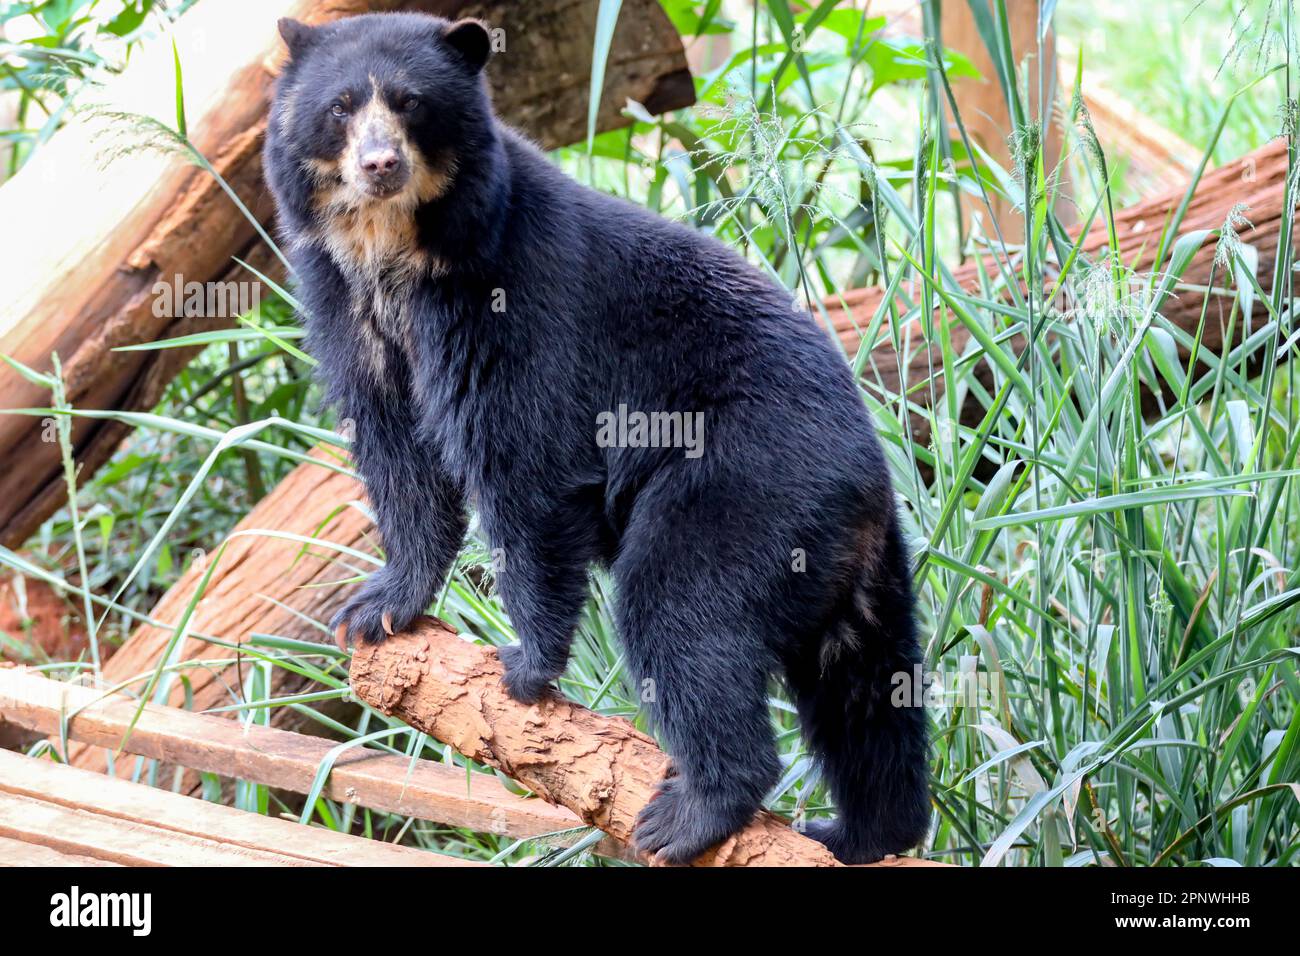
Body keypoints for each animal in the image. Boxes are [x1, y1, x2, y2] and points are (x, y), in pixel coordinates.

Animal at [263, 11, 929, 865]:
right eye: (342, 106)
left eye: (411, 103)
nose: (381, 164)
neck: (397, 249)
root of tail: (868, 475)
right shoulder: (342, 299)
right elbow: (394, 447)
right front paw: (376, 608)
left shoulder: (511, 296)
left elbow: (523, 465)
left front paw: (524, 669)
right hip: (851, 563)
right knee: (866, 686)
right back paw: (865, 832)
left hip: (746, 479)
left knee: (681, 611)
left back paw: (694, 811)